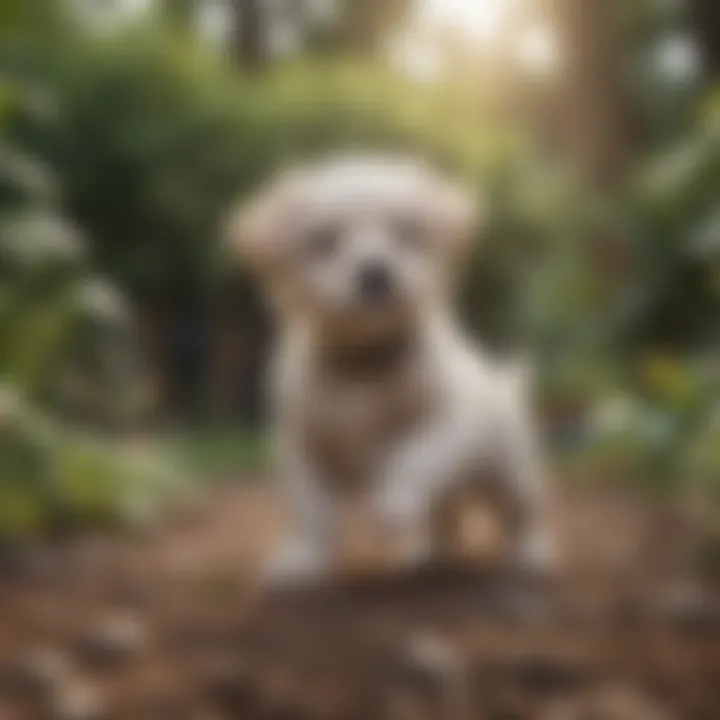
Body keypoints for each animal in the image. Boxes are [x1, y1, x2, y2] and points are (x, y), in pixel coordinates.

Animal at [231, 155, 556, 584]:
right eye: (324, 241)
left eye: (408, 233)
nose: (375, 272)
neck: (363, 363)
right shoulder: (303, 449)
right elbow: (310, 513)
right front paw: (303, 562)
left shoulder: (450, 425)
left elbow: (414, 458)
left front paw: (392, 502)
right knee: (443, 518)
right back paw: (431, 556)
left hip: (510, 473)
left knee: (522, 515)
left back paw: (532, 554)